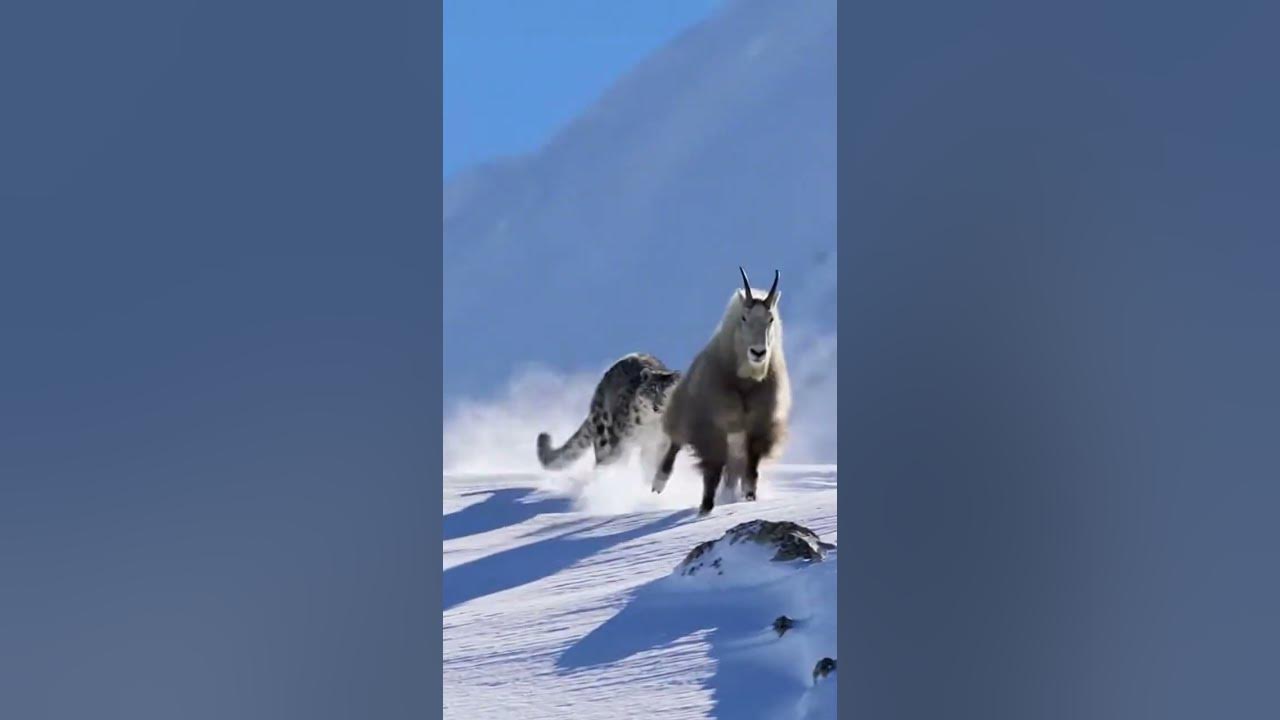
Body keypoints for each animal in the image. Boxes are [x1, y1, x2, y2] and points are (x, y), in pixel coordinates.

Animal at [652, 267, 791, 514]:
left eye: (770, 319)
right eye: (744, 317)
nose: (758, 353)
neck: (746, 381)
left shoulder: (760, 424)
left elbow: (751, 466)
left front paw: (749, 495)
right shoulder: (712, 424)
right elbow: (712, 470)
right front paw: (705, 507)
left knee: (732, 468)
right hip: (685, 408)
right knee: (676, 442)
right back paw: (659, 482)